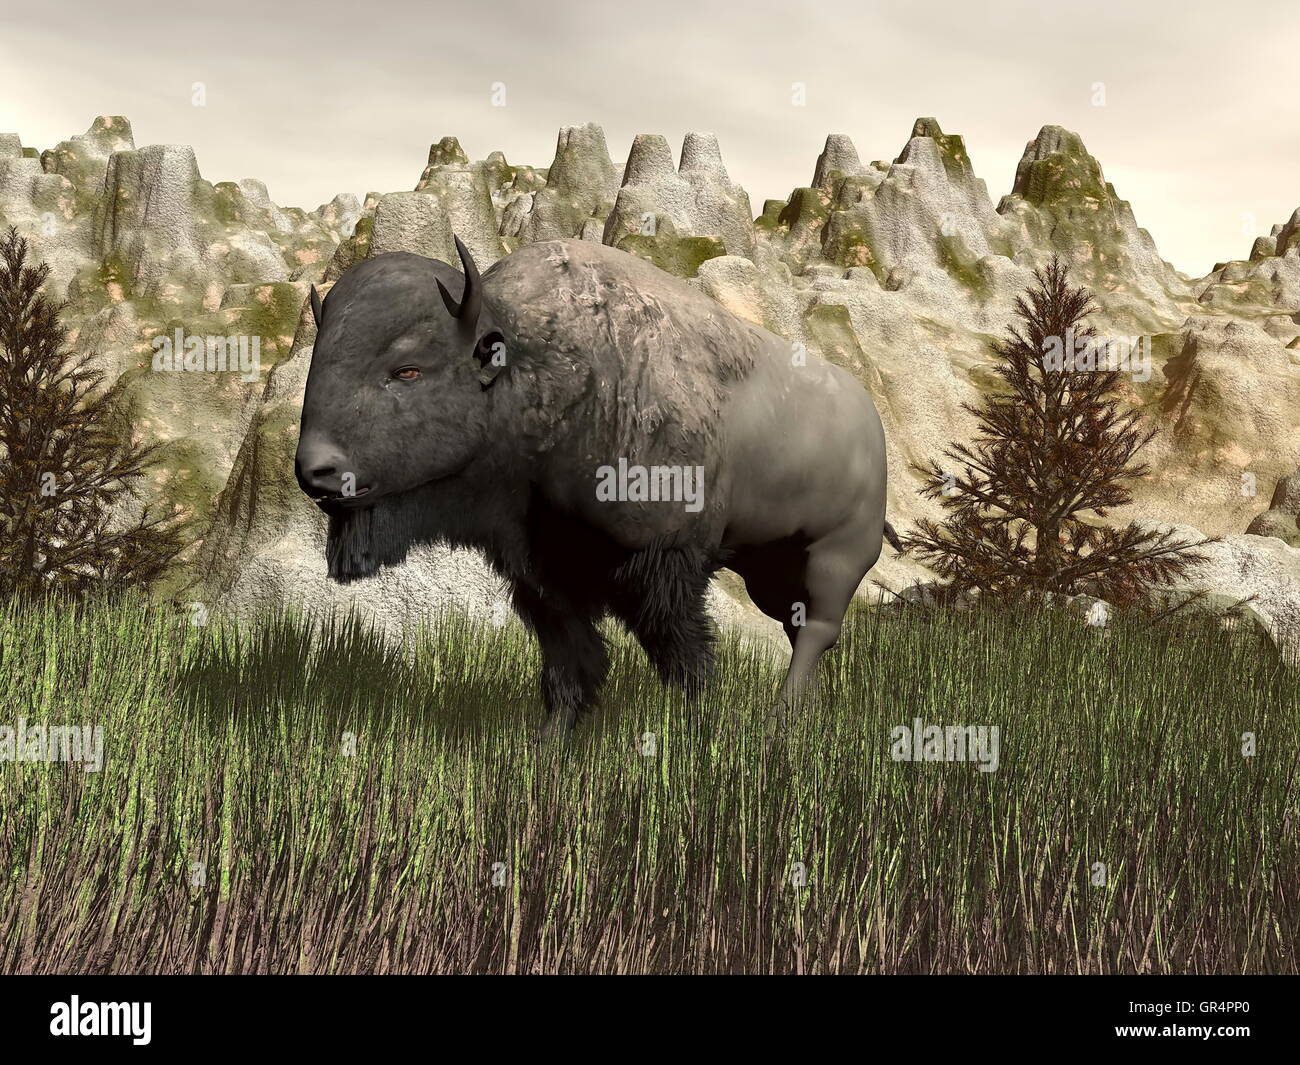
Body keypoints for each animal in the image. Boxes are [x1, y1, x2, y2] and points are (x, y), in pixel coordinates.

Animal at [295, 236, 897, 737]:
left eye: (408, 369)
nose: (316, 472)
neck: (544, 369)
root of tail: (868, 417)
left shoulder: (663, 562)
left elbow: (681, 650)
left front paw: (700, 721)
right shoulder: (542, 574)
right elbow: (571, 658)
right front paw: (551, 738)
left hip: (835, 555)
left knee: (817, 627)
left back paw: (783, 712)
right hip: (769, 567)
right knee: (797, 627)